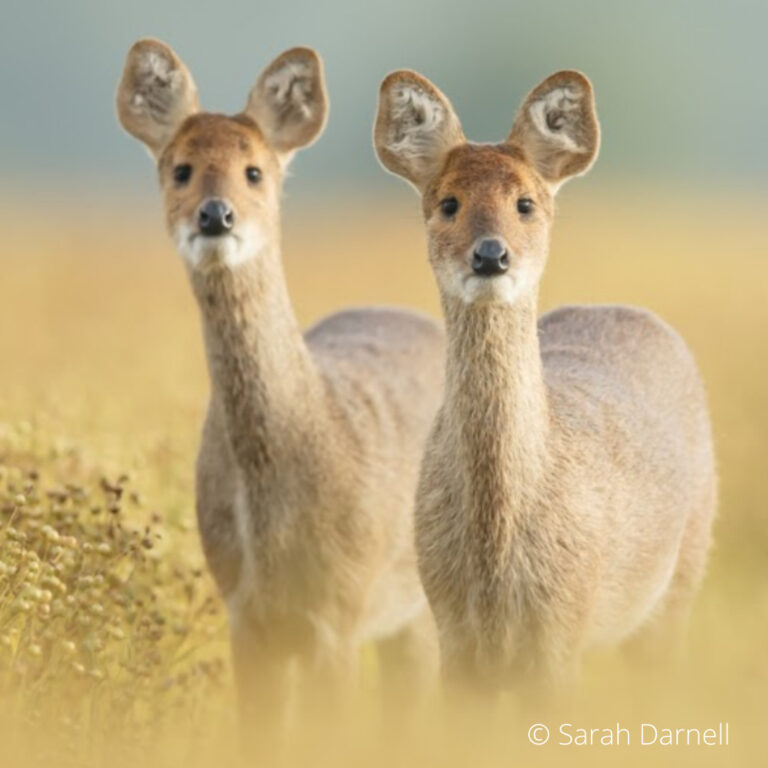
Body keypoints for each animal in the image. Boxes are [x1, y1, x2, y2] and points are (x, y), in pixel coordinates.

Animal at [374, 69, 716, 696]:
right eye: (448, 202)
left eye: (525, 203)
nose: (491, 254)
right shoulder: (453, 633)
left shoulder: (561, 633)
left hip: (682, 576)